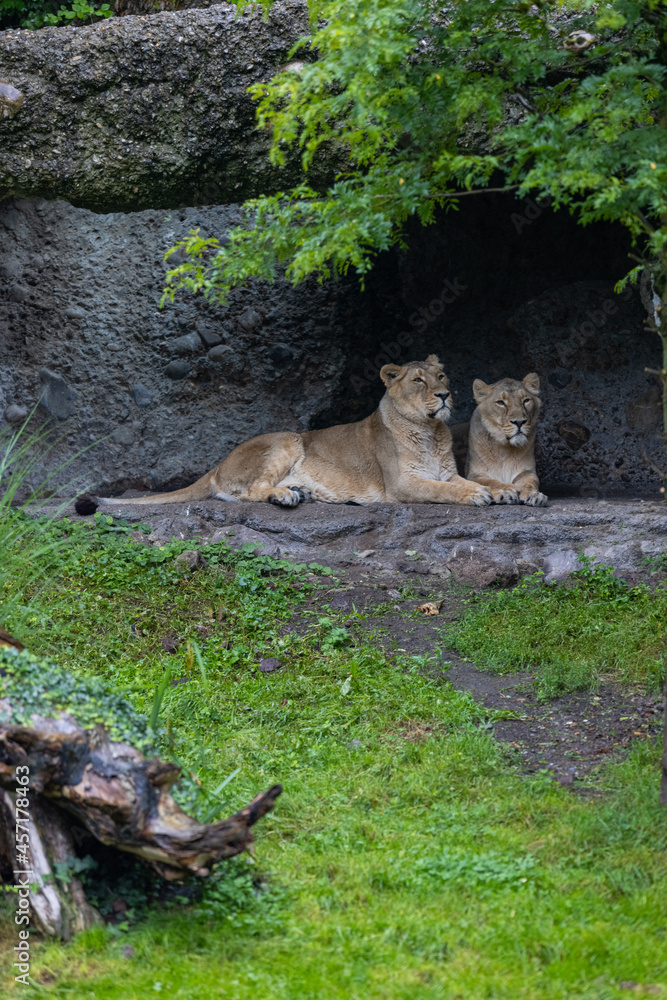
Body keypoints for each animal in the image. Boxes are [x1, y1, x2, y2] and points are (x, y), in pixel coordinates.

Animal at [82, 355, 494, 511]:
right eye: (418, 380)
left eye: (441, 375)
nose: (444, 395)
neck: (431, 430)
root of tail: (218, 464)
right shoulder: (401, 485)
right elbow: (441, 490)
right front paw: (476, 496)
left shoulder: (446, 471)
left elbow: (461, 481)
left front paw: (497, 492)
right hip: (288, 439)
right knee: (250, 491)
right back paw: (285, 495)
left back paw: (297, 491)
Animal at [459, 373, 547, 506]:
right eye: (500, 402)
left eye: (526, 400)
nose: (519, 422)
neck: (504, 448)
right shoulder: (474, 475)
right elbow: (491, 482)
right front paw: (506, 491)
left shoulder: (526, 472)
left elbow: (530, 483)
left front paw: (534, 495)